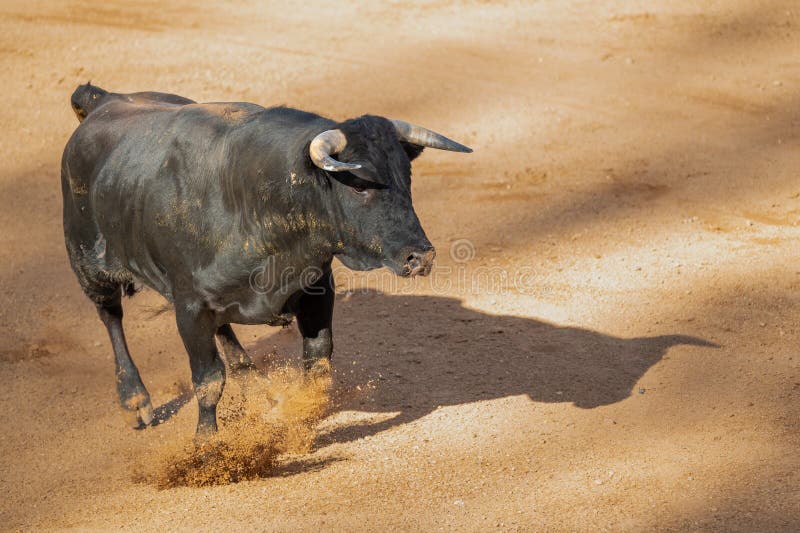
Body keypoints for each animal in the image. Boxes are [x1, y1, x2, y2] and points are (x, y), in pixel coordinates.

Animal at [61, 84, 471, 437]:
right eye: (358, 185)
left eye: (406, 176)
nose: (420, 256)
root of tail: (103, 101)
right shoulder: (189, 306)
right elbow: (208, 380)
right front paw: (206, 445)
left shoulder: (317, 289)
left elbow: (318, 358)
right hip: (87, 263)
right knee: (111, 316)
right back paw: (134, 400)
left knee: (222, 330)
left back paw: (258, 387)